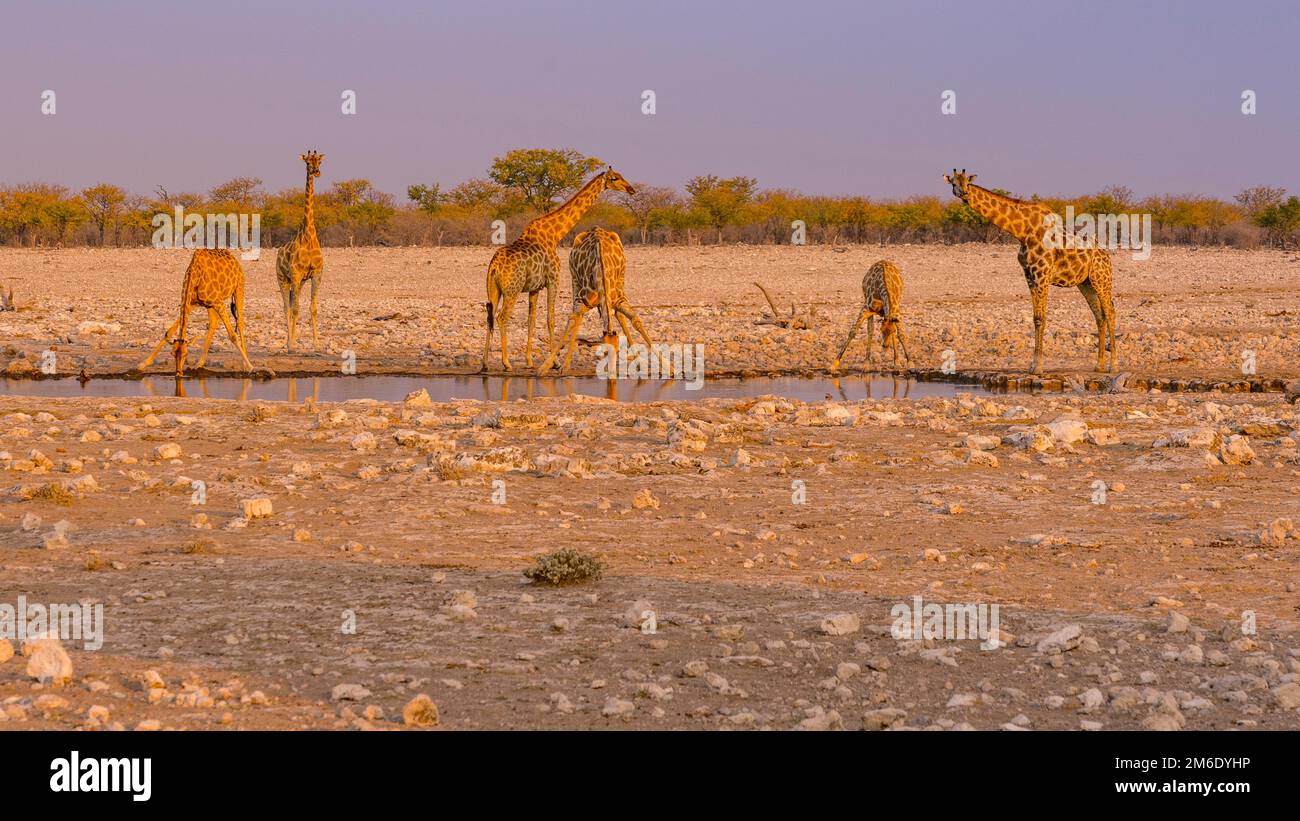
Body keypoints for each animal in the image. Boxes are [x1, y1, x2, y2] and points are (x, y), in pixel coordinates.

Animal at [138, 248, 253, 377]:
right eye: (172, 354)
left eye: (186, 354)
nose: (178, 373)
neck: (194, 275)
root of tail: (233, 258)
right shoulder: (191, 303)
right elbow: (169, 332)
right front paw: (143, 364)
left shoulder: (219, 302)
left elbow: (232, 336)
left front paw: (250, 367)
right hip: (209, 304)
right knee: (214, 322)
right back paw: (199, 363)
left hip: (238, 287)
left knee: (240, 322)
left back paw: (244, 364)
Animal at [480, 167, 635, 372]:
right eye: (614, 178)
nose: (631, 189)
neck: (554, 234)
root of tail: (494, 266)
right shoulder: (554, 279)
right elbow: (550, 318)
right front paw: (556, 362)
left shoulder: (535, 287)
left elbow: (532, 320)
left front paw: (529, 361)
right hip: (512, 290)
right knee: (502, 317)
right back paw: (506, 363)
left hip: (494, 290)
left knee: (489, 317)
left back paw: (485, 364)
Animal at [537, 227, 658, 374]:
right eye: (604, 352)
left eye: (617, 349)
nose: (611, 373)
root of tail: (596, 228)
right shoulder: (583, 299)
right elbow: (573, 318)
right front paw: (546, 366)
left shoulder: (619, 299)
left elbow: (636, 320)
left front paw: (669, 368)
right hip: (575, 282)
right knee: (577, 316)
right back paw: (565, 365)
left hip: (620, 281)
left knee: (618, 315)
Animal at [944, 169, 1116, 373]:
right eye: (953, 183)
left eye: (967, 183)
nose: (964, 193)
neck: (1022, 232)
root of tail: (1107, 256)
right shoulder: (1029, 276)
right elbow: (1035, 318)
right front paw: (1032, 365)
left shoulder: (1042, 274)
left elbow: (1042, 318)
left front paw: (1039, 367)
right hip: (1086, 284)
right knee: (1099, 315)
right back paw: (1099, 365)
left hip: (1101, 279)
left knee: (1110, 312)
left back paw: (1113, 365)